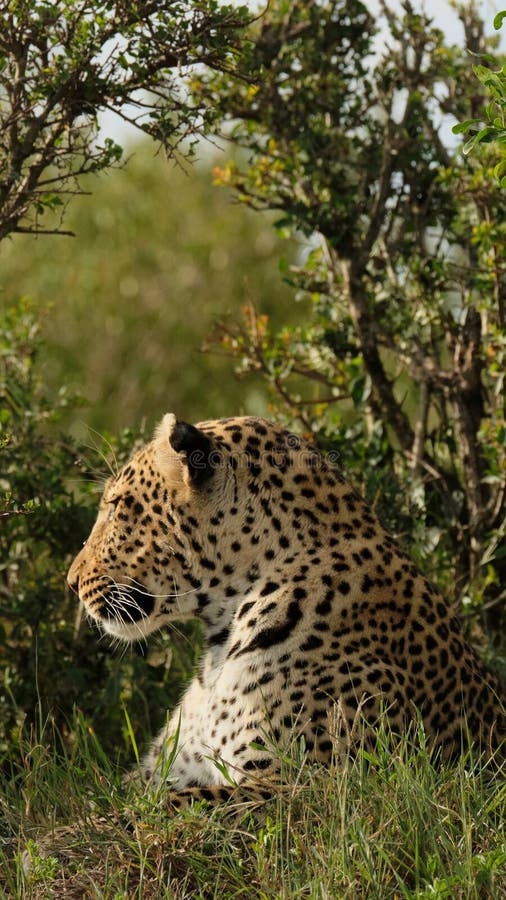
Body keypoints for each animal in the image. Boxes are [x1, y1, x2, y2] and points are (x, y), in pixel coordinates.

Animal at [68, 413, 506, 806]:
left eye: (117, 507)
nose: (71, 581)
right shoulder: (162, 770)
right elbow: (93, 800)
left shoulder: (310, 786)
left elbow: (162, 808)